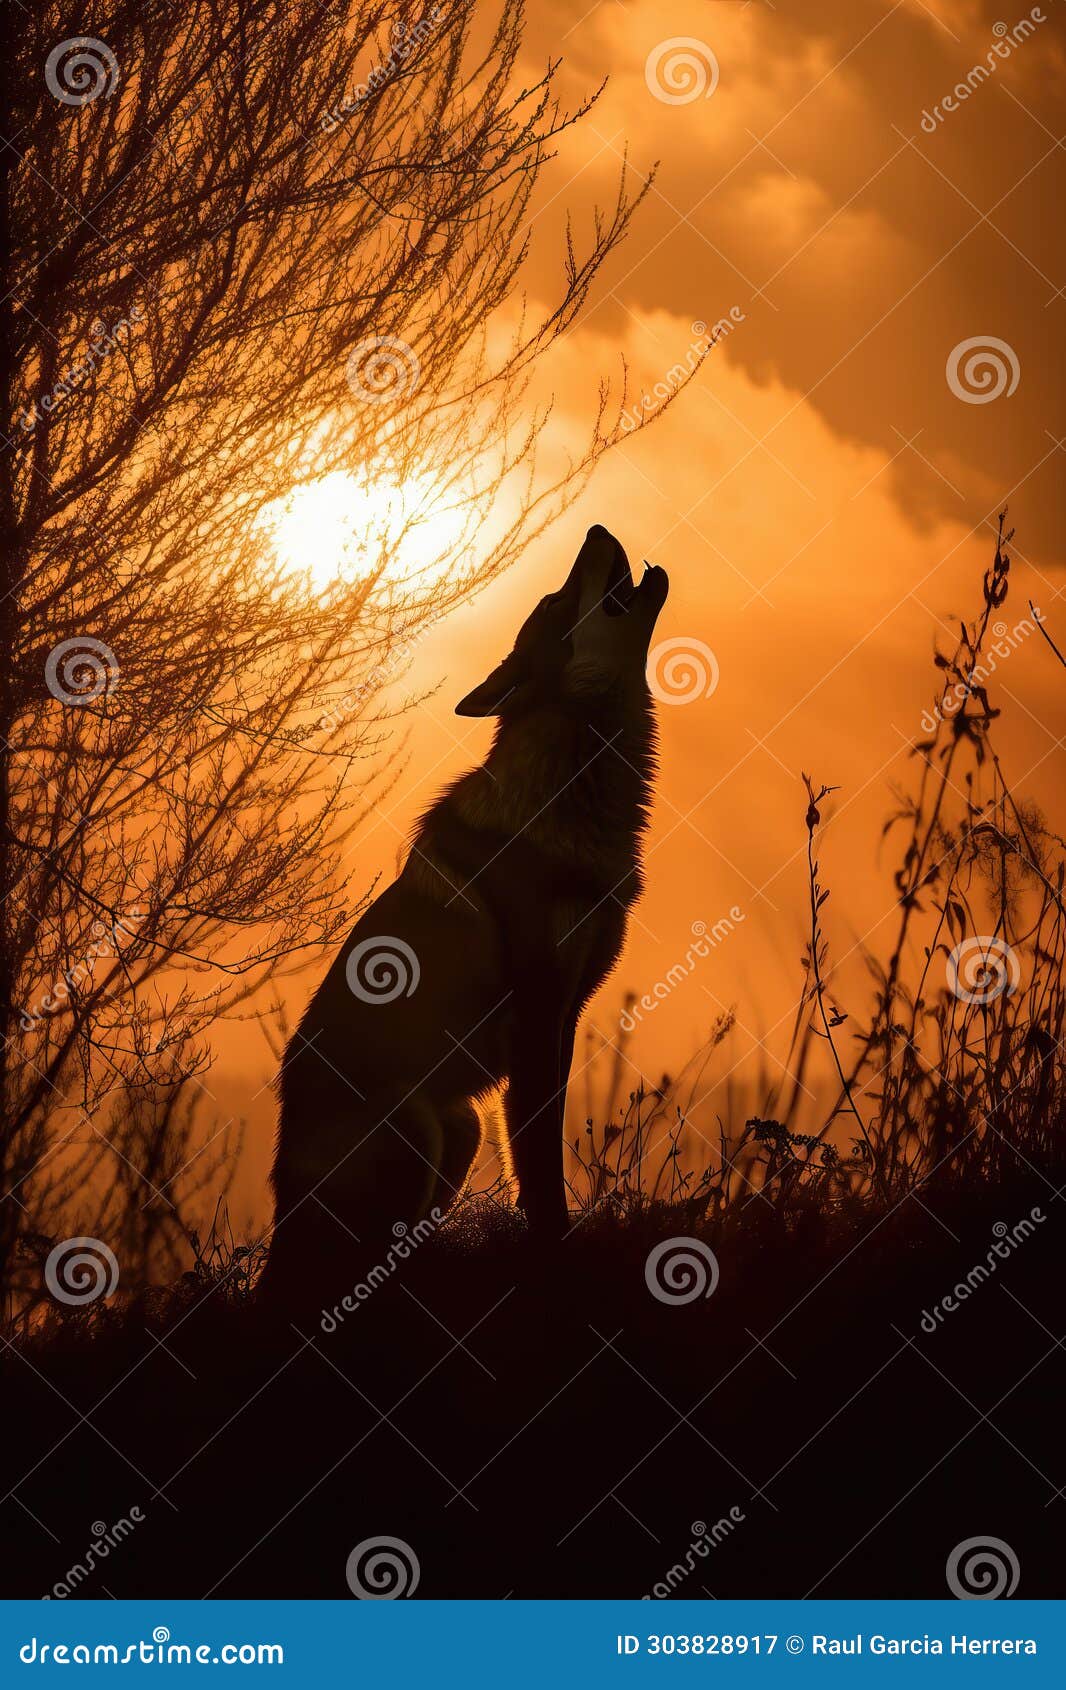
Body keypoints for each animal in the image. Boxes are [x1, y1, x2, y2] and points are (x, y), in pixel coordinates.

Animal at [262, 525, 668, 1303]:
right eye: (557, 601)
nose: (597, 529)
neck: (569, 794)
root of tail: (279, 1212)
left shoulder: (566, 1014)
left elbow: (539, 1152)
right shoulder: (538, 1016)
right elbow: (539, 1167)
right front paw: (556, 1261)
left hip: (459, 1130)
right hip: (416, 1130)